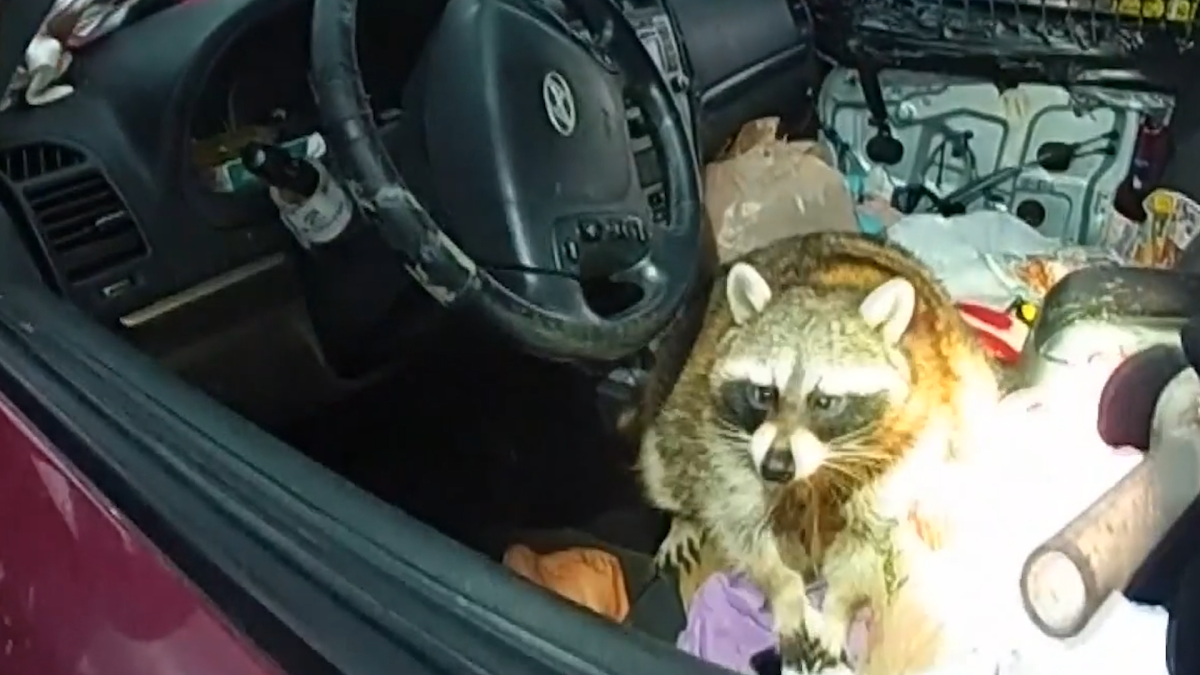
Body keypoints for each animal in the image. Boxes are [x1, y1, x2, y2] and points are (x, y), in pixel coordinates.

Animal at [637, 232, 1001, 674]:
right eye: (763, 393)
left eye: (825, 401)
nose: (776, 467)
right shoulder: (727, 444)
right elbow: (741, 524)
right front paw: (787, 593)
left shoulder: (906, 448)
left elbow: (869, 542)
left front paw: (837, 609)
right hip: (682, 391)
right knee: (668, 452)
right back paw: (682, 514)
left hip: (970, 393)